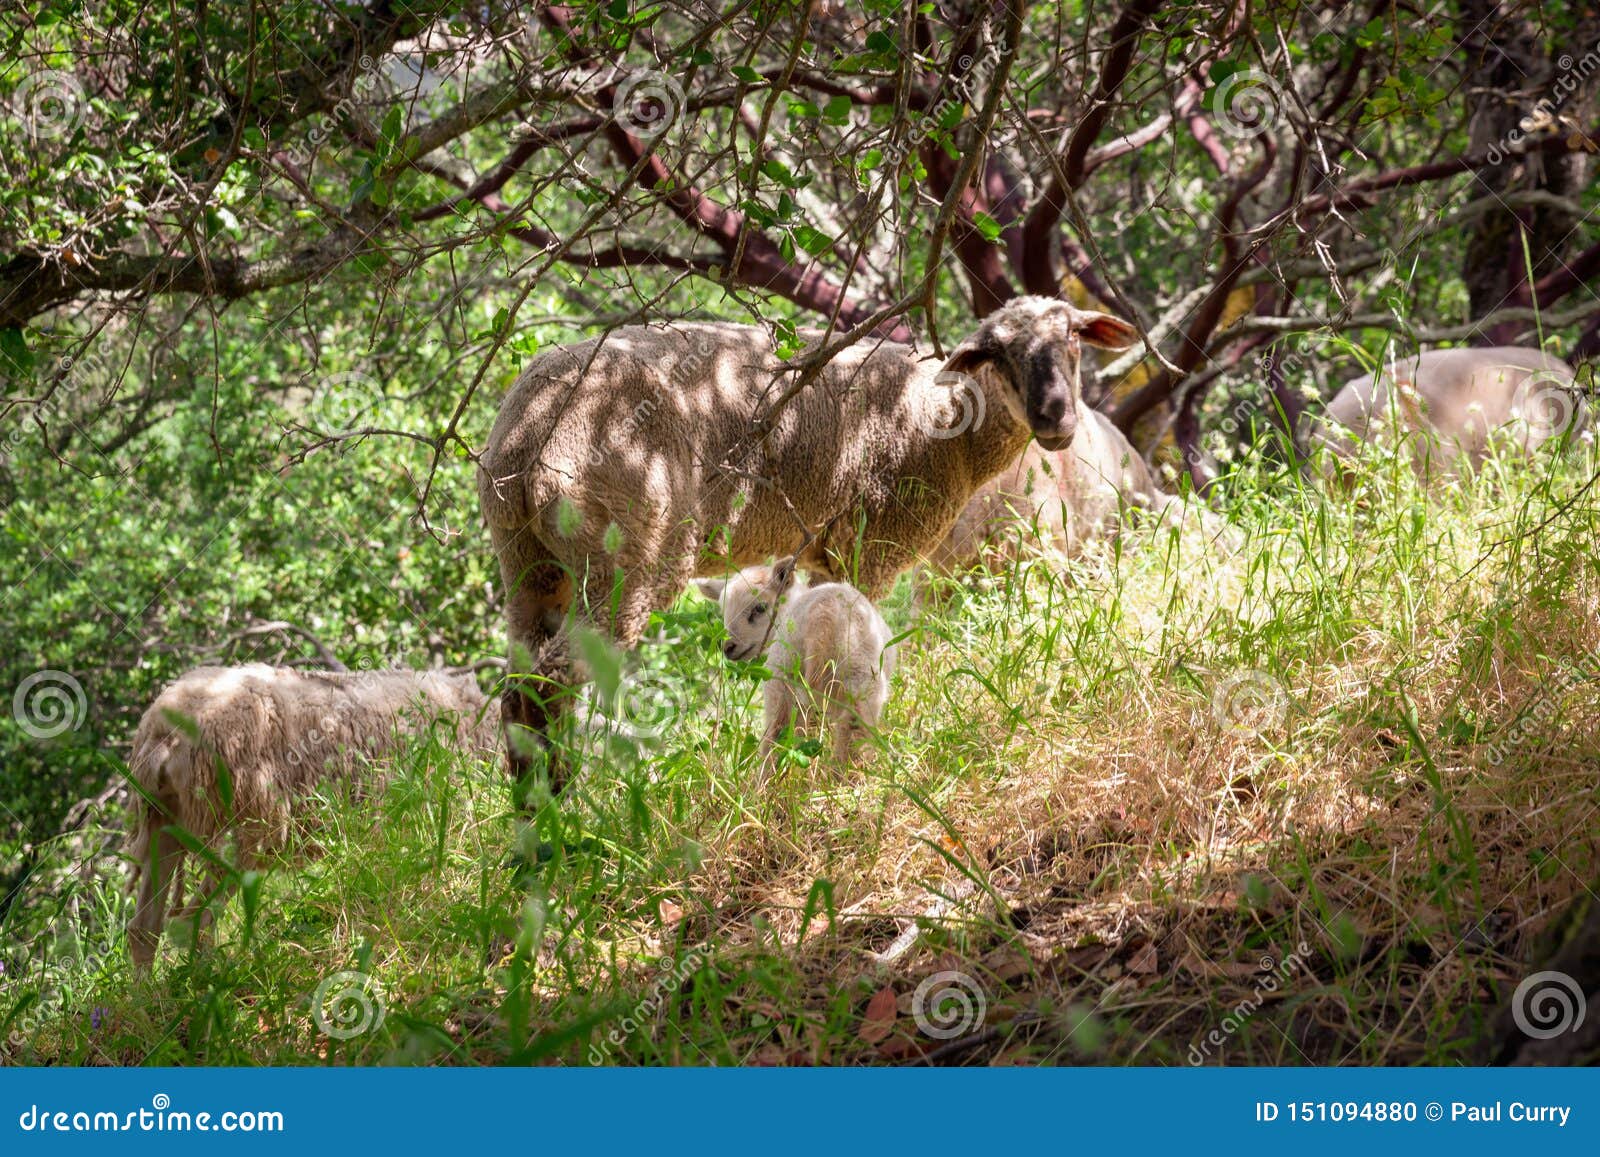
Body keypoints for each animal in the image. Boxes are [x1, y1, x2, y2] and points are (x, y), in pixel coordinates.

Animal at [126, 664, 498, 967]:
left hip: (163, 820)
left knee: (144, 928)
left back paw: (148, 1003)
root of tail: (163, 735)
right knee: (194, 922)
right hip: (244, 829)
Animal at [694, 558, 895, 774]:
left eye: (760, 608)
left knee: (778, 736)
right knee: (850, 737)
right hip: (857, 680)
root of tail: (823, 613)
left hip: (785, 676)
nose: (728, 647)